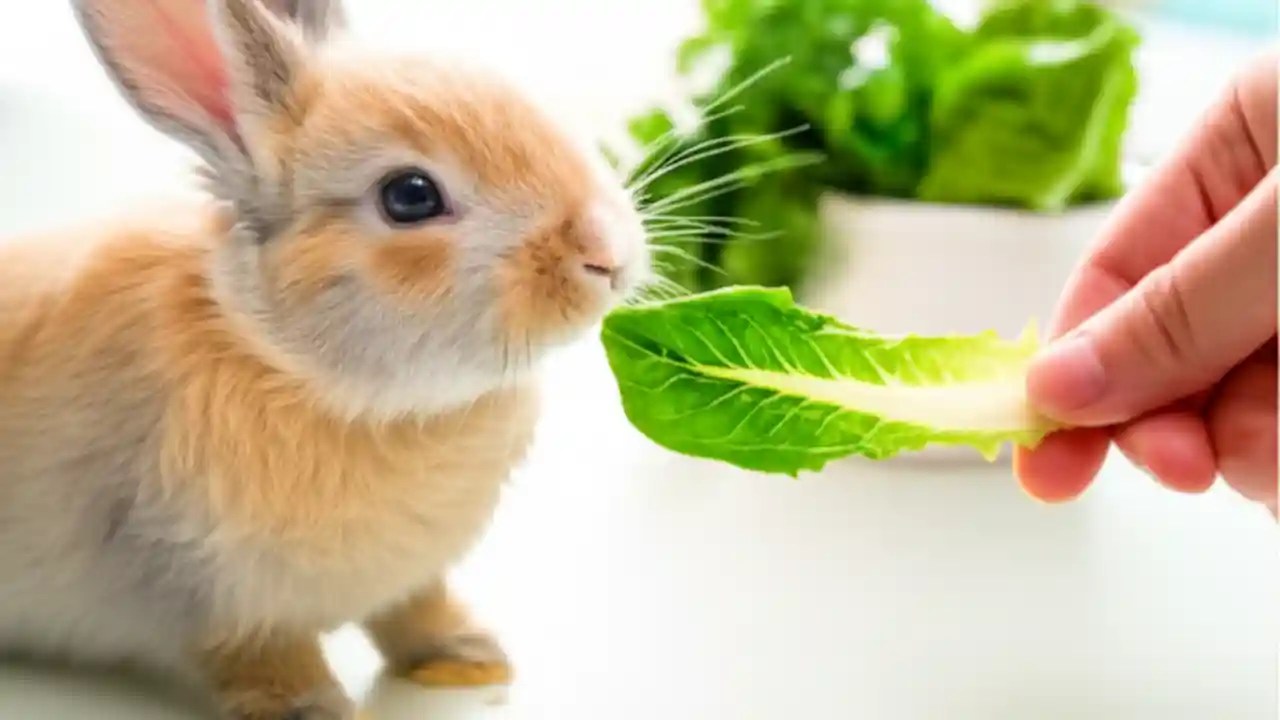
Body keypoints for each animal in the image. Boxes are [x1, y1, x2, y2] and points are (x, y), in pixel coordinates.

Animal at [0, 0, 649, 717]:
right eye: (410, 196)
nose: (607, 256)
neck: (300, 372)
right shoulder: (210, 587)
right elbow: (264, 656)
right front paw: (311, 707)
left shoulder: (413, 577)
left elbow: (416, 611)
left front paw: (467, 658)